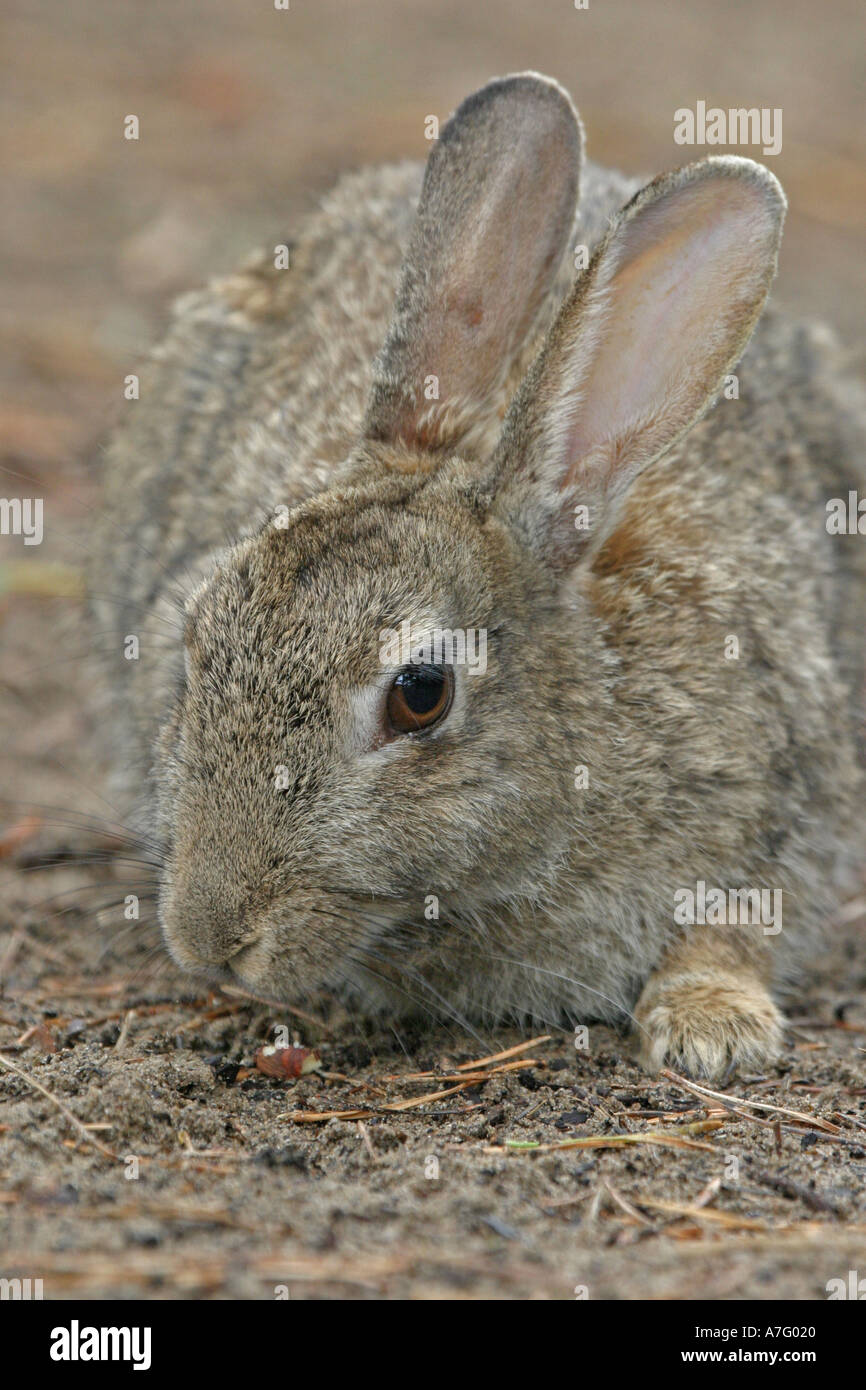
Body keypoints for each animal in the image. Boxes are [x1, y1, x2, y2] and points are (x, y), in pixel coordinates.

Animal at [92, 72, 866, 1079]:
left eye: (421, 695)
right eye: (193, 642)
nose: (207, 938)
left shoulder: (785, 797)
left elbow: (737, 923)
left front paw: (712, 1026)